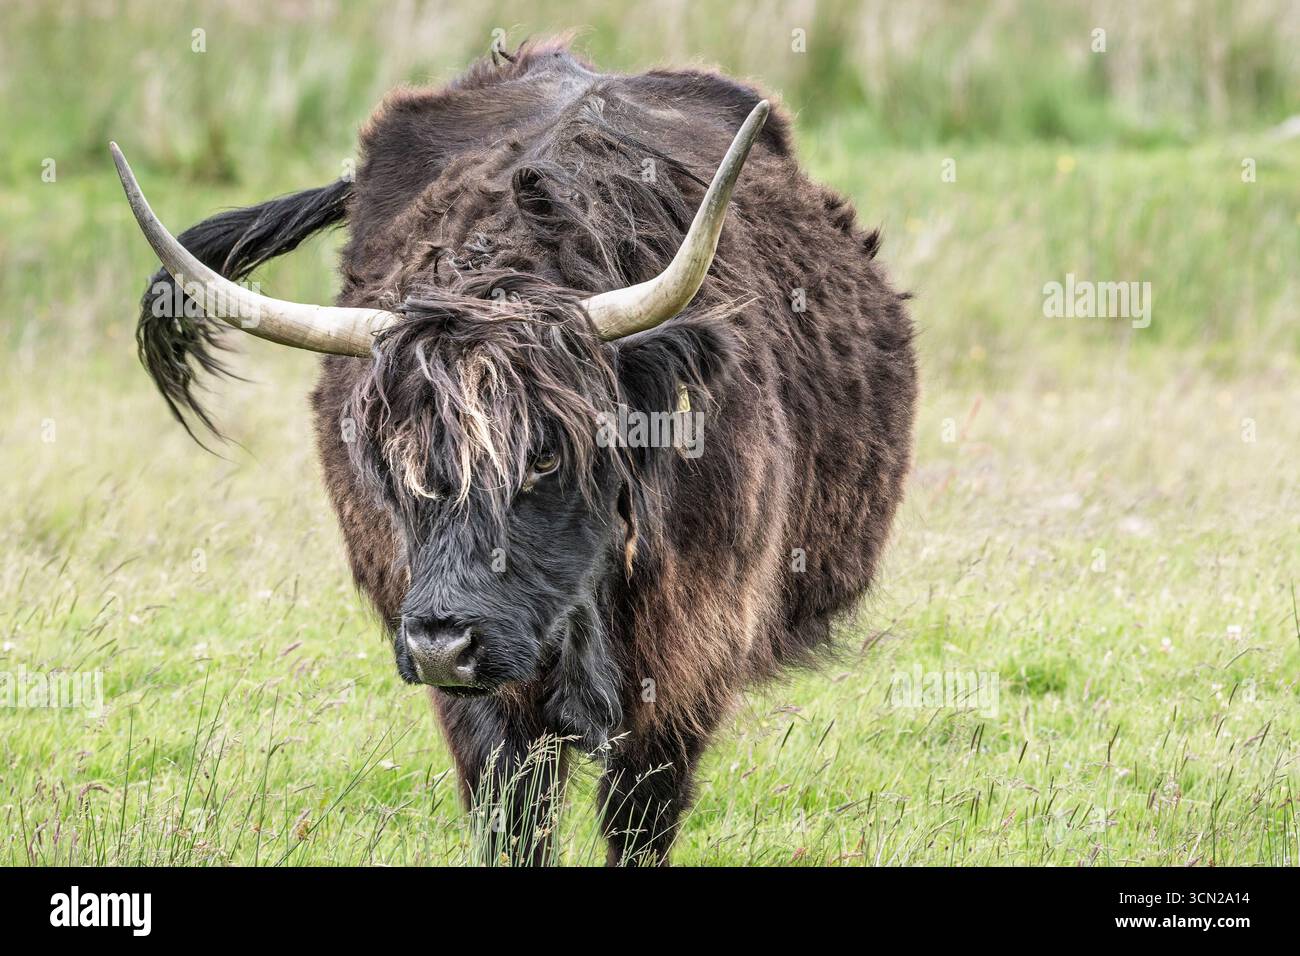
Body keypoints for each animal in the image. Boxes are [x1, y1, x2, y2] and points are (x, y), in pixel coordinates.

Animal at [113, 40, 917, 865]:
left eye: (545, 457)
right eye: (399, 465)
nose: (442, 645)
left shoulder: (689, 661)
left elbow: (639, 819)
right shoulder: (482, 700)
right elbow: (512, 815)